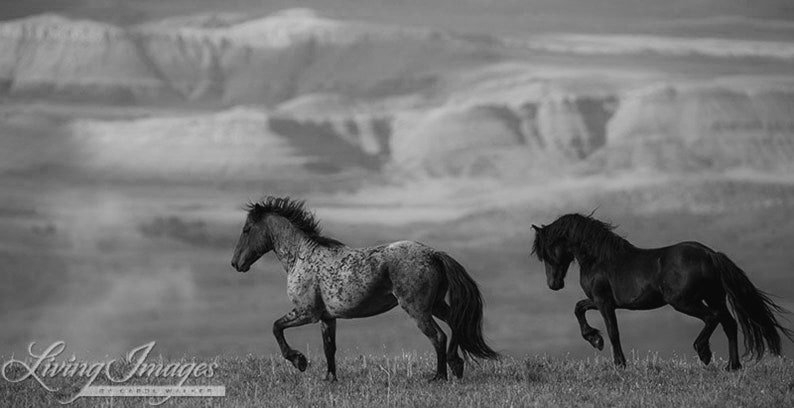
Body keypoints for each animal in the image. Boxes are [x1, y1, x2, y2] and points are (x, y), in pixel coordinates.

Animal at [230, 196, 498, 381]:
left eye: (246, 229)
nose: (235, 263)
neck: (302, 257)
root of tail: (434, 254)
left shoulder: (307, 312)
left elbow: (276, 327)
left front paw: (299, 361)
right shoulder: (327, 317)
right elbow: (329, 348)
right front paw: (330, 378)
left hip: (418, 309)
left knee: (438, 336)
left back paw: (439, 376)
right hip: (436, 304)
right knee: (455, 323)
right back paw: (456, 365)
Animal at [531, 213, 792, 370]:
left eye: (547, 251)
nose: (553, 284)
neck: (599, 259)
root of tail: (710, 254)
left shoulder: (604, 302)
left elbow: (613, 331)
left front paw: (618, 361)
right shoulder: (598, 300)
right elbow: (578, 308)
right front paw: (595, 339)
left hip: (684, 301)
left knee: (713, 318)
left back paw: (704, 353)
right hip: (714, 297)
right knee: (729, 323)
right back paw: (732, 366)